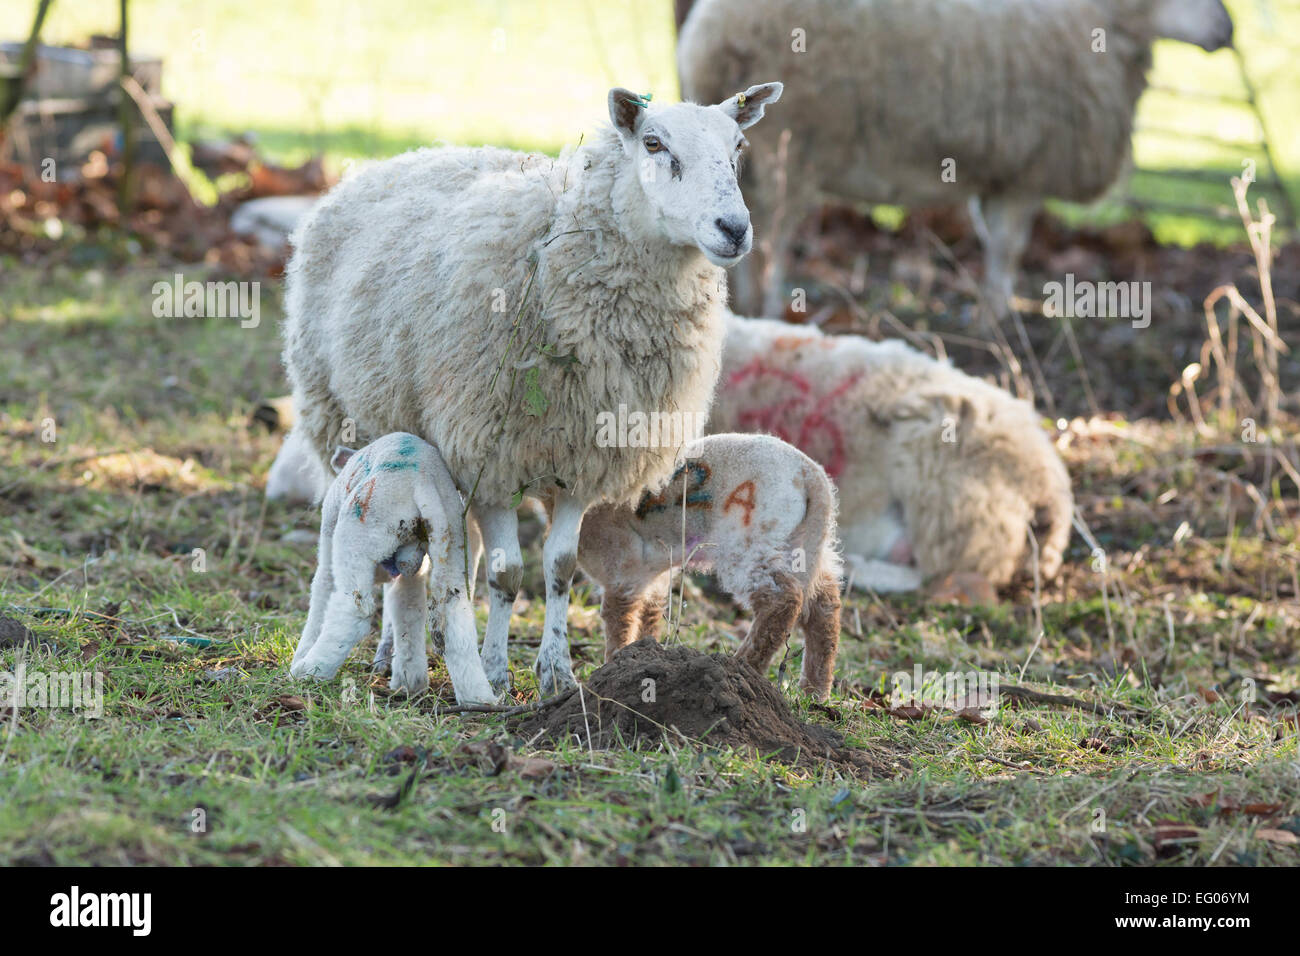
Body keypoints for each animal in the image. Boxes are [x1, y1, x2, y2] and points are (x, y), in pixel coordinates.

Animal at [288, 432, 497, 705]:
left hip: (357, 532)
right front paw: (410, 681)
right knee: (453, 615)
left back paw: (308, 671)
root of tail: (423, 482)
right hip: (452, 539)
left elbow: (320, 598)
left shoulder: (328, 541)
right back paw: (478, 699)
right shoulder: (410, 571)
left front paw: (300, 655)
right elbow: (406, 608)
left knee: (353, 610)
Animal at [578, 433, 843, 699]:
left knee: (783, 598)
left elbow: (618, 618)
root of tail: (812, 474)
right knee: (824, 605)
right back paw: (814, 690)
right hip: (802, 543)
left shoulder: (622, 565)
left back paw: (742, 666)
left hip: (749, 539)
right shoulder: (653, 575)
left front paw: (612, 667)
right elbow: (649, 614)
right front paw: (643, 655)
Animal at [677, 0, 1234, 314]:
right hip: (792, 153)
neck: (1109, 24)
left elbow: (994, 243)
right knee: (771, 244)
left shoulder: (998, 176)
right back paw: (769, 309)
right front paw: (996, 318)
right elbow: (1009, 247)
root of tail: (706, 35)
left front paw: (994, 310)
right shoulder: (1024, 175)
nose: (1228, 31)